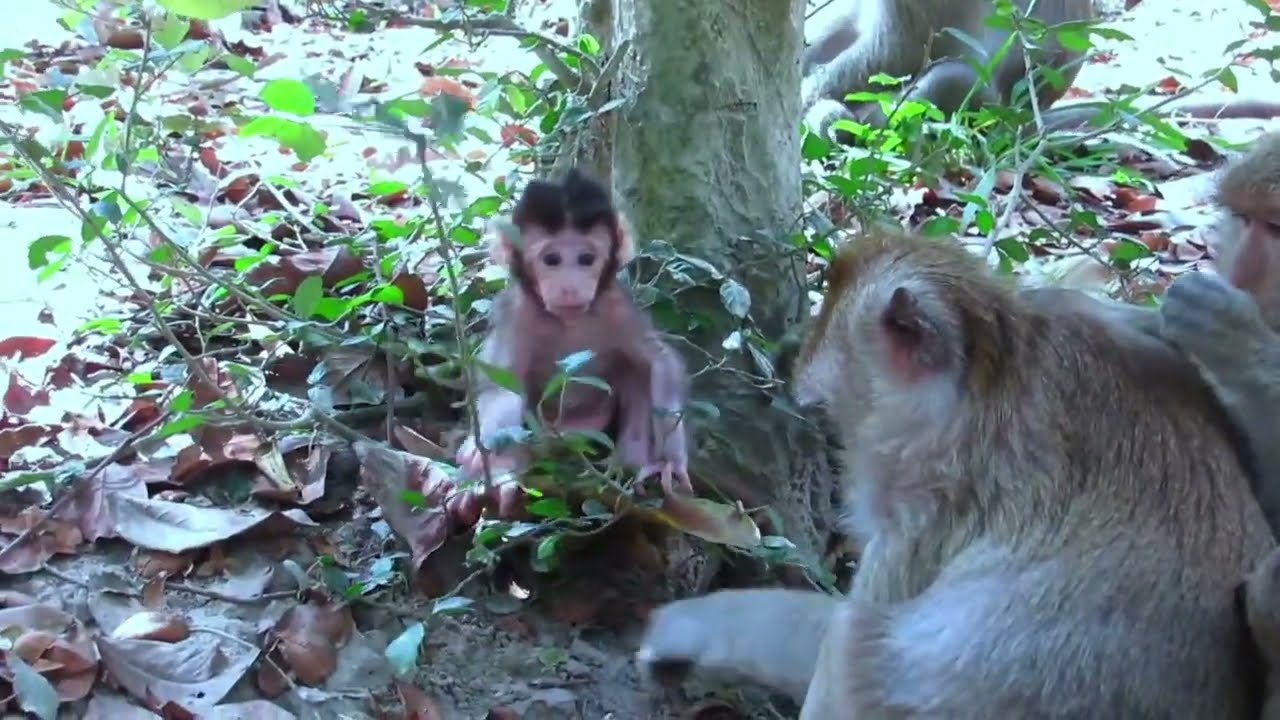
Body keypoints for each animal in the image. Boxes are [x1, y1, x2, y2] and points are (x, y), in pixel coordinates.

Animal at [450, 169, 694, 524]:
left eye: (585, 259)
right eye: (552, 260)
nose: (569, 287)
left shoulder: (615, 306)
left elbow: (660, 362)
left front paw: (669, 460)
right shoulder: (518, 313)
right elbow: (502, 384)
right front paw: (500, 467)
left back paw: (628, 460)